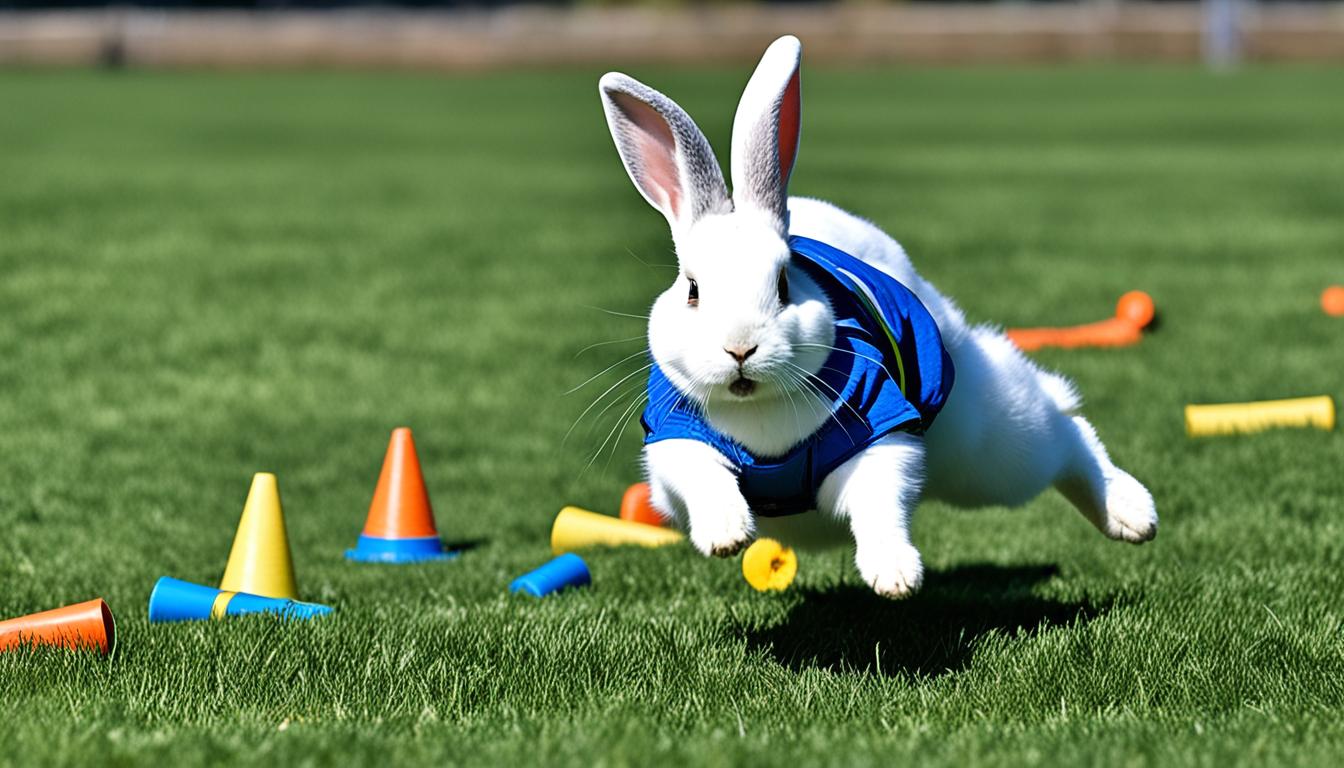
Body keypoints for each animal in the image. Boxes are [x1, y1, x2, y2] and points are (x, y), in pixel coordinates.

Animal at [597, 35, 1157, 598]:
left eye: (783, 284)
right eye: (693, 290)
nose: (740, 348)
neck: (758, 410)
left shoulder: (880, 434)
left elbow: (879, 503)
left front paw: (895, 575)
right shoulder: (672, 444)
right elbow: (703, 478)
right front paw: (726, 535)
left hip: (987, 443)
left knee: (1062, 429)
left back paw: (1132, 515)